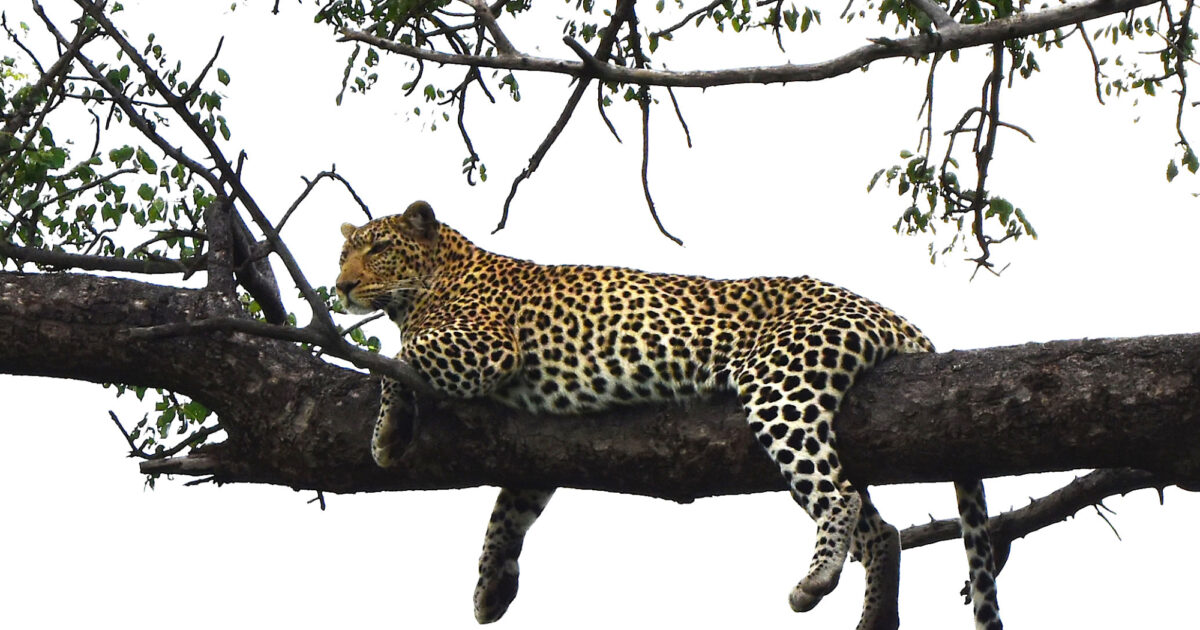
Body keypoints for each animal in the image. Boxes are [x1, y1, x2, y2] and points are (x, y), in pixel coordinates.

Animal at [336, 200, 1003, 630]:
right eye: (343, 251)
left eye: (380, 250)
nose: (339, 287)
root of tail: (896, 317)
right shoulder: (536, 445)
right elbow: (510, 508)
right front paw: (492, 587)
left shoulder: (487, 347)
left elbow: (395, 359)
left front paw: (388, 435)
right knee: (878, 525)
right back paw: (876, 616)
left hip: (779, 381)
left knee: (836, 496)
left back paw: (813, 583)